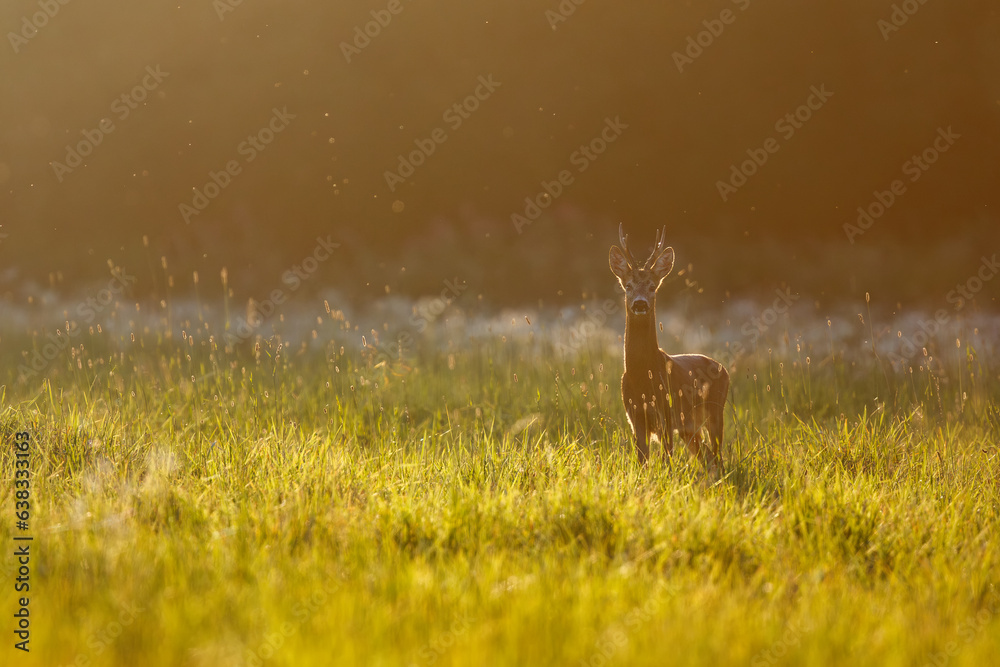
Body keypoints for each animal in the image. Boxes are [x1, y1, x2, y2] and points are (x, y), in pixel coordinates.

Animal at [609, 224, 730, 473]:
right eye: (628, 285)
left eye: (653, 286)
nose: (640, 303)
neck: (642, 376)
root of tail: (724, 369)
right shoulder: (635, 416)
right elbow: (642, 461)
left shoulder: (667, 411)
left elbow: (667, 459)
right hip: (690, 427)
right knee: (706, 456)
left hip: (715, 410)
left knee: (716, 455)